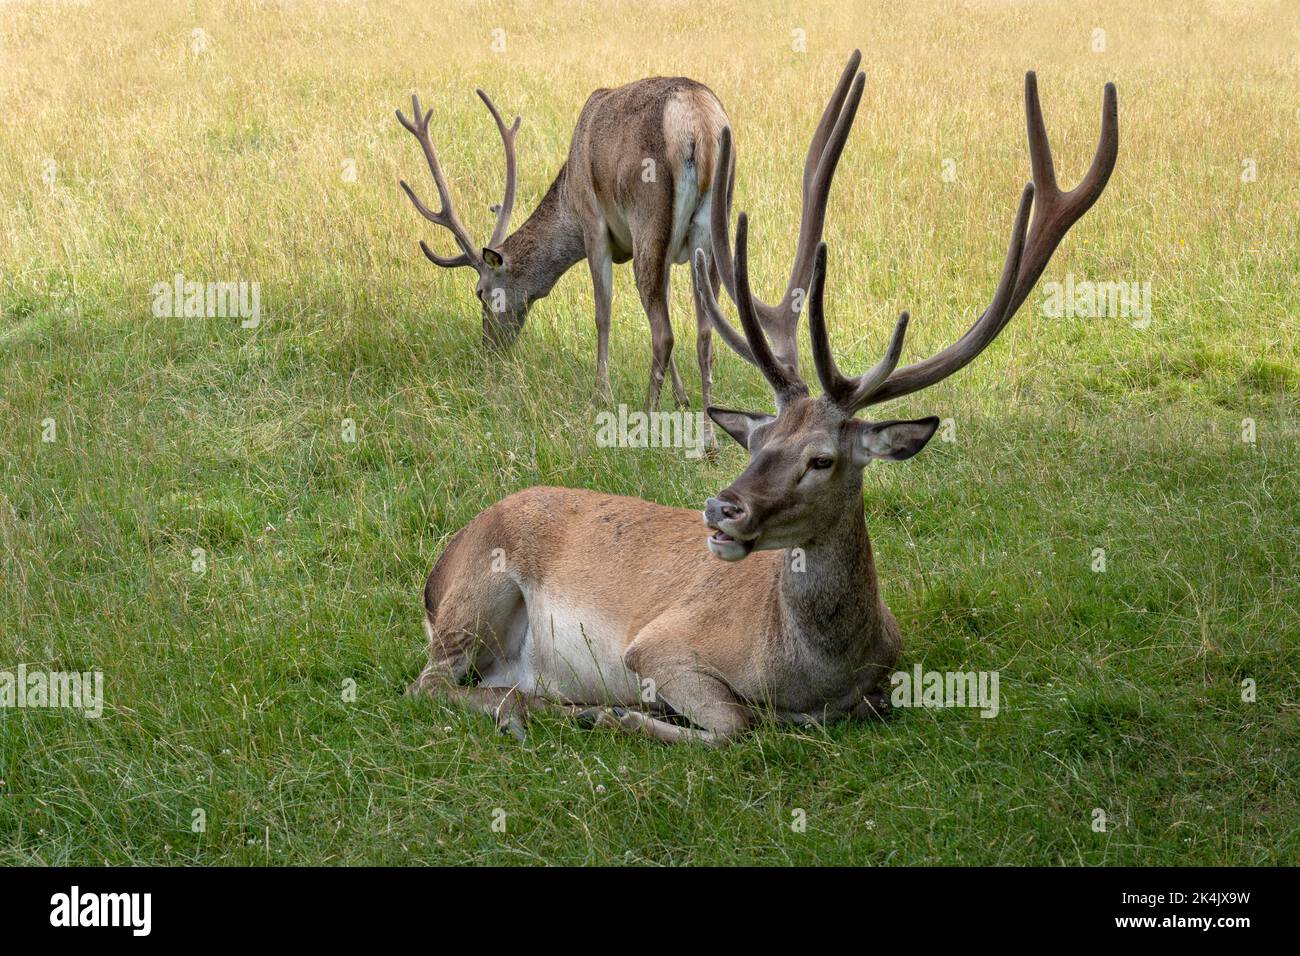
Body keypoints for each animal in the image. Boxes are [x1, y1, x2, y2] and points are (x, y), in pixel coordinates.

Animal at [408, 70, 1118, 745]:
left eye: (822, 459)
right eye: (756, 441)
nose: (721, 508)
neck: (810, 673)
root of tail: (439, 569)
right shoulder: (659, 644)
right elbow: (735, 722)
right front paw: (618, 714)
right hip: (478, 596)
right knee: (428, 683)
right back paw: (530, 710)